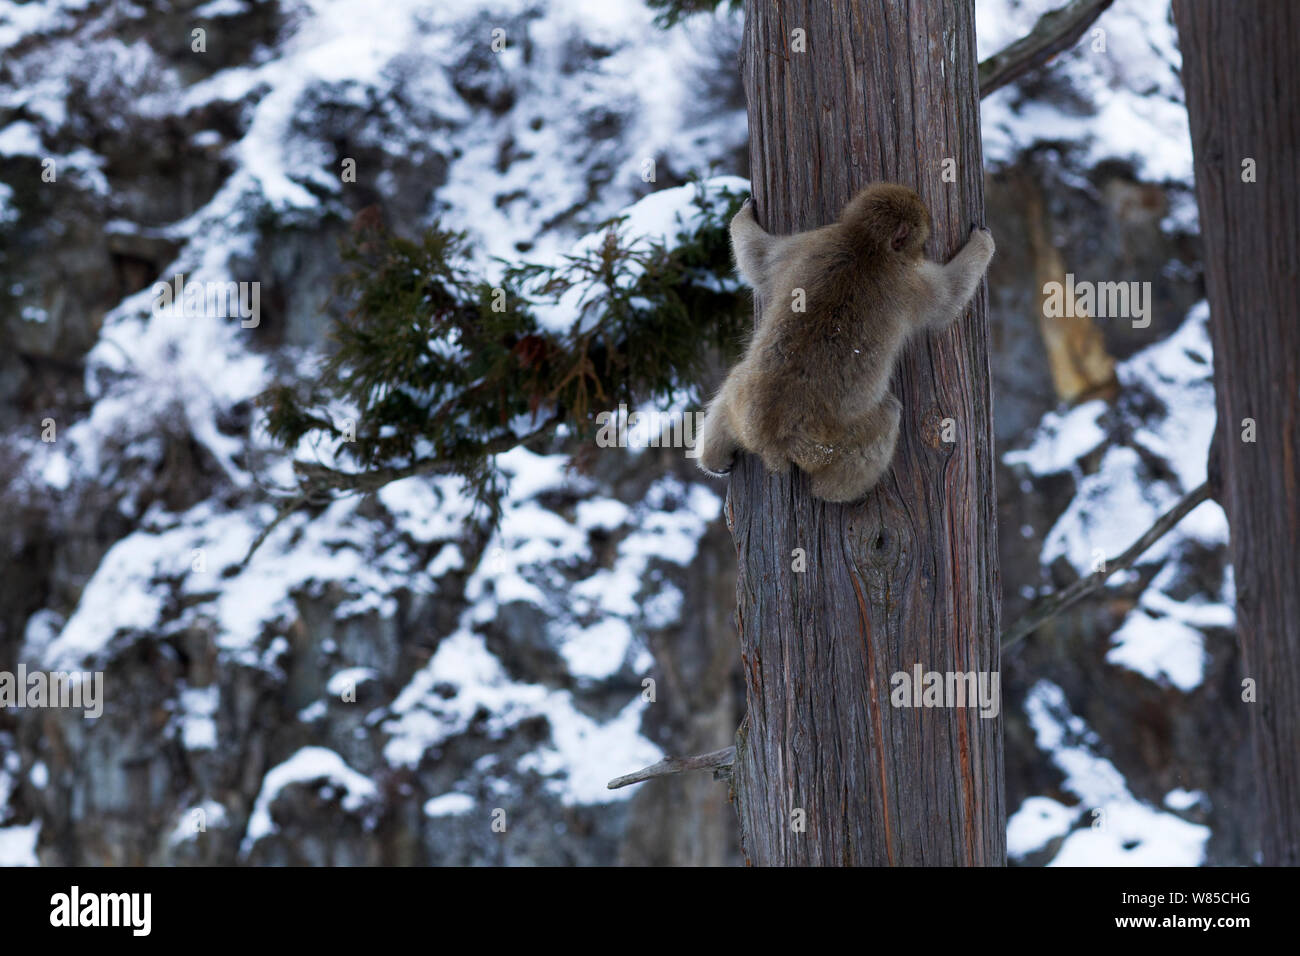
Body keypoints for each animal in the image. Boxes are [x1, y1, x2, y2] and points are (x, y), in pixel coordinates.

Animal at [695, 183, 994, 503]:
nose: (923, 249)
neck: (864, 242)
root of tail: (773, 440)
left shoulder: (809, 242)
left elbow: (758, 260)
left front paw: (744, 215)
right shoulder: (912, 283)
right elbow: (950, 298)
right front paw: (982, 244)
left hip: (742, 400)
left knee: (733, 382)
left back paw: (713, 457)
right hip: (833, 443)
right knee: (888, 416)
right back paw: (841, 494)